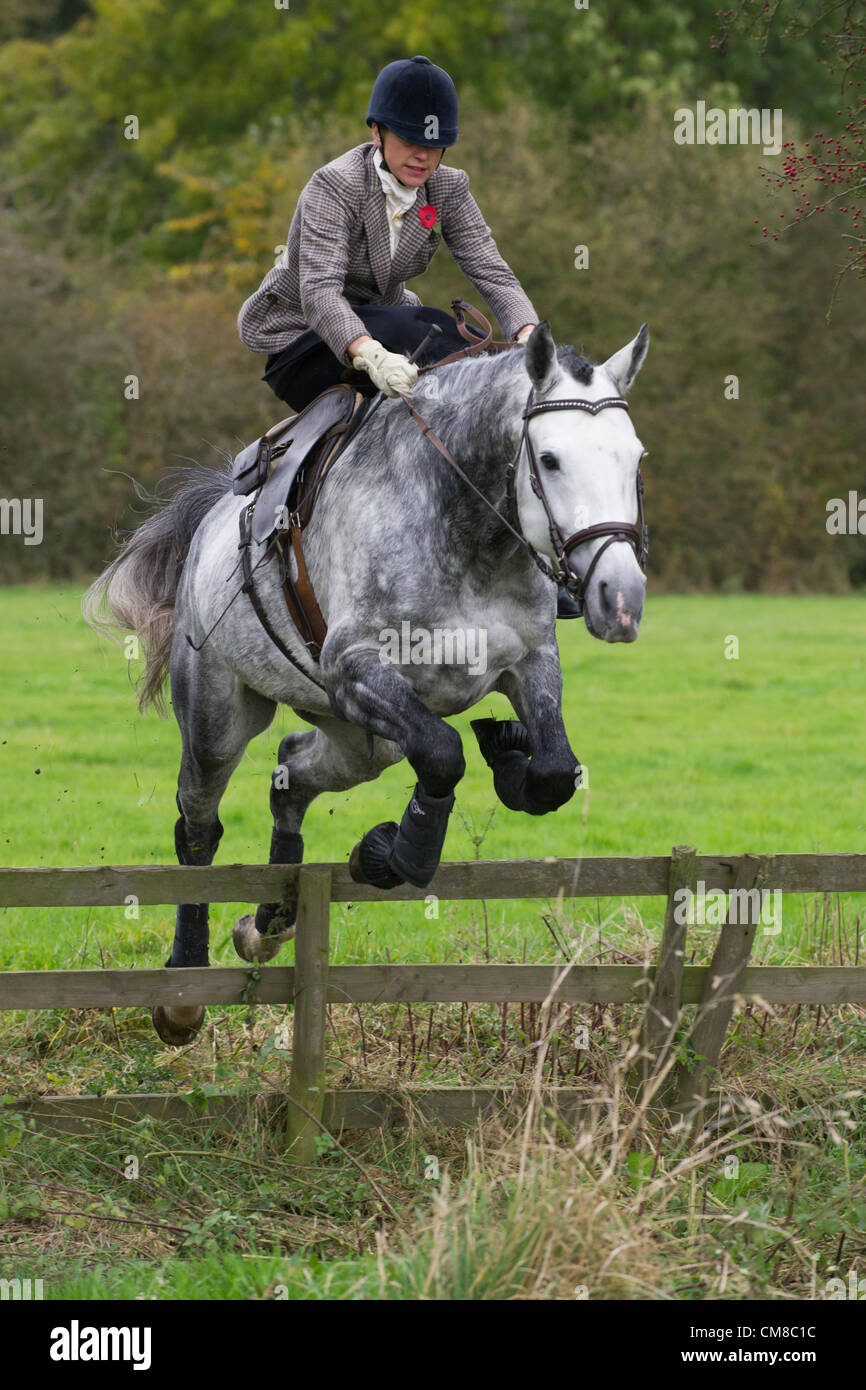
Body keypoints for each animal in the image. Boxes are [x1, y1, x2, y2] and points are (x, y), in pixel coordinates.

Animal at [84, 320, 650, 1044]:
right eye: (548, 460)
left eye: (634, 459)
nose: (620, 601)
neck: (466, 529)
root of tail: (213, 514)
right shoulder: (357, 668)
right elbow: (442, 753)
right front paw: (391, 853)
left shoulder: (530, 662)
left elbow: (552, 772)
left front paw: (508, 750)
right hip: (222, 717)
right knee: (198, 825)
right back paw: (183, 990)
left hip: (361, 742)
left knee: (292, 773)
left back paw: (269, 924)